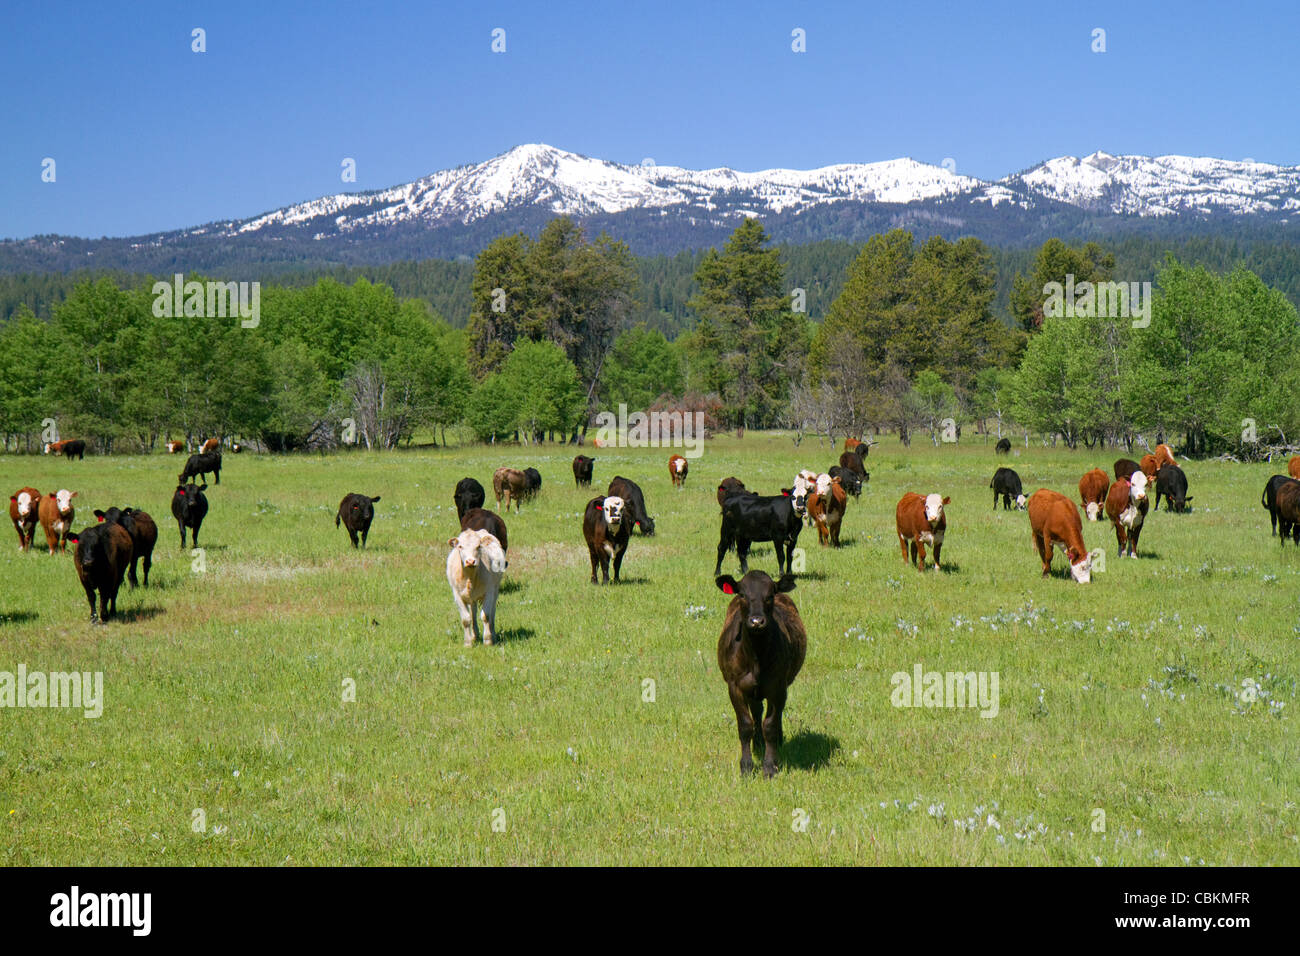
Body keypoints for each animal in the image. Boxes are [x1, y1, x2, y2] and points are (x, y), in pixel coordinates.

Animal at [715, 570, 807, 778]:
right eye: (742, 594)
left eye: (769, 595)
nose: (756, 621)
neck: (755, 657)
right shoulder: (735, 686)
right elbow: (745, 725)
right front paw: (747, 766)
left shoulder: (778, 686)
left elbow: (770, 725)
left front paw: (770, 767)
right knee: (756, 711)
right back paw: (757, 741)